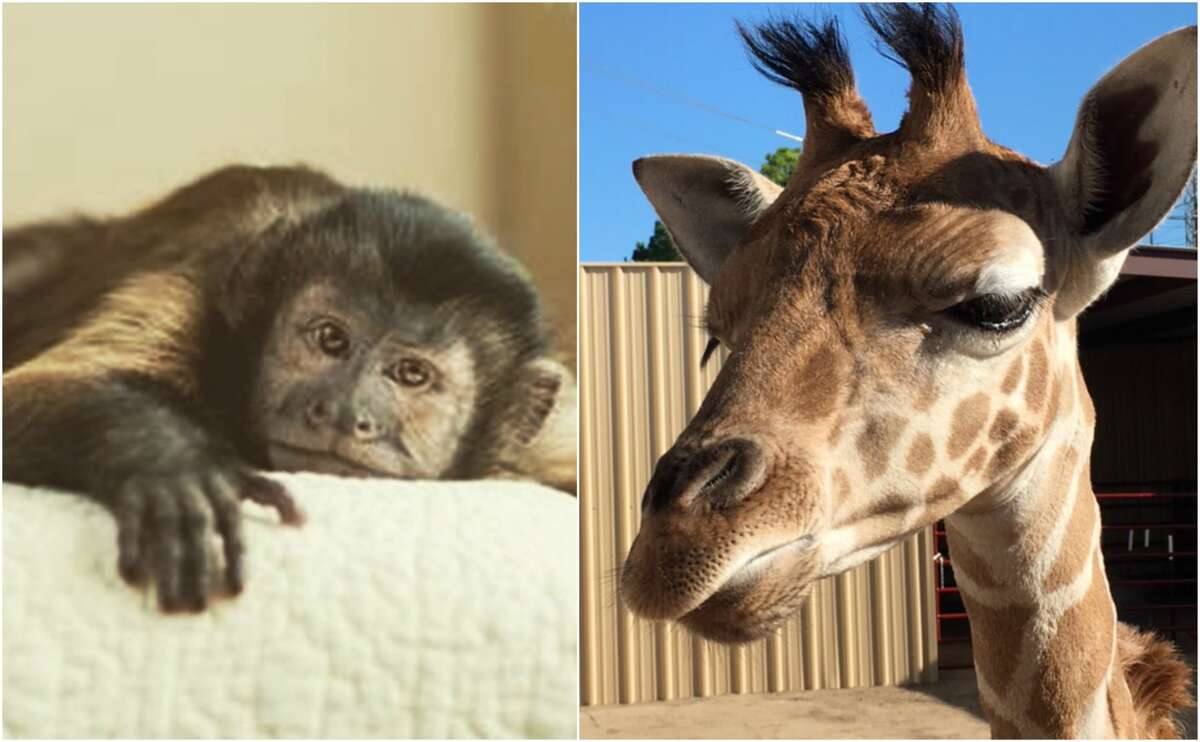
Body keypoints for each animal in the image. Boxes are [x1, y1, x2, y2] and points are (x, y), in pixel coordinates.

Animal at [2, 164, 577, 613]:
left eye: (412, 374)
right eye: (330, 339)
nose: (344, 412)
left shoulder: (547, 444)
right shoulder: (196, 288)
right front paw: (173, 469)